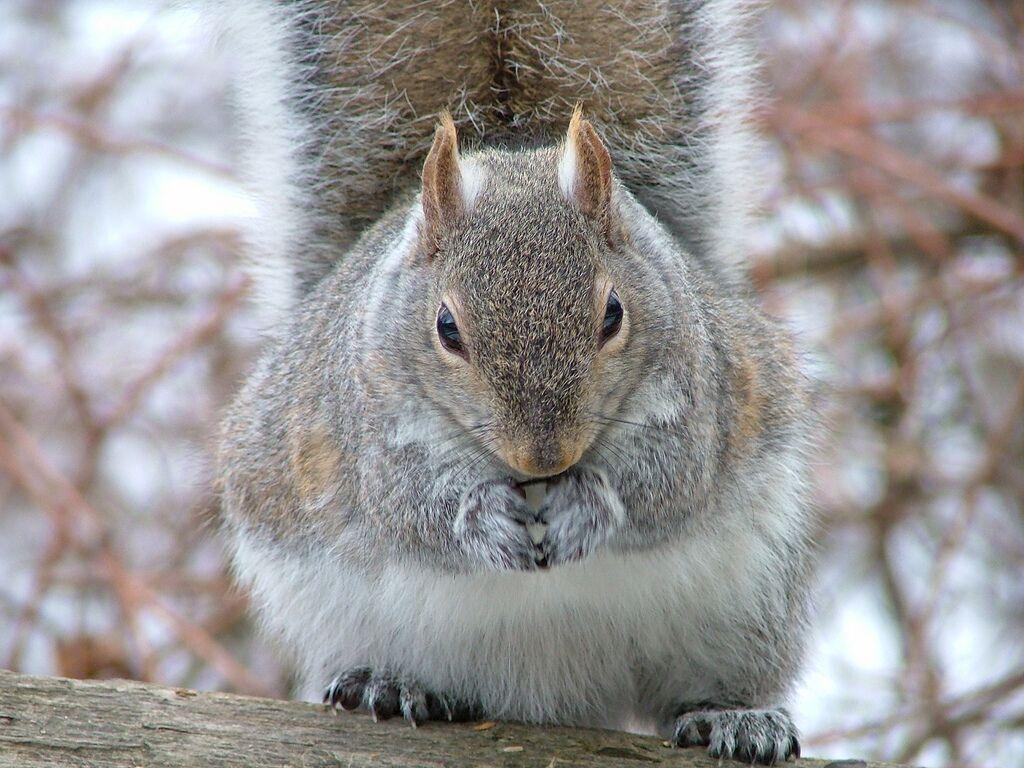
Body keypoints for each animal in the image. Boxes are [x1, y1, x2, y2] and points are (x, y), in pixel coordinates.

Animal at [216, 1, 816, 764]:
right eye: (446, 328)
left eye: (613, 314)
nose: (544, 458)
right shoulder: (366, 424)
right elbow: (408, 508)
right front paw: (480, 519)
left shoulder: (700, 395)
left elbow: (666, 482)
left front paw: (589, 503)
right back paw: (391, 683)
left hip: (745, 606)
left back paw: (736, 717)